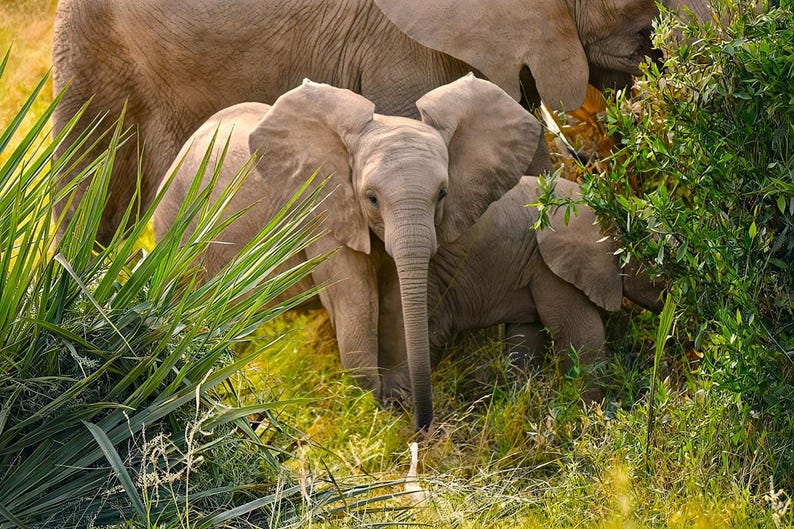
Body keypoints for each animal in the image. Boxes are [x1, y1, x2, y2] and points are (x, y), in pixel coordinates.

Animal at [152, 75, 542, 431]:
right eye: (371, 198)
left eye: (443, 194)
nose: (423, 426)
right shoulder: (322, 210)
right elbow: (355, 298)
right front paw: (375, 410)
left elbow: (393, 298)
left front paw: (396, 398)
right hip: (173, 225)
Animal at [378, 176, 663, 403]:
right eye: (660, 262)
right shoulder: (548, 268)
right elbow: (579, 332)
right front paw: (593, 413)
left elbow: (526, 338)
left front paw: (520, 401)